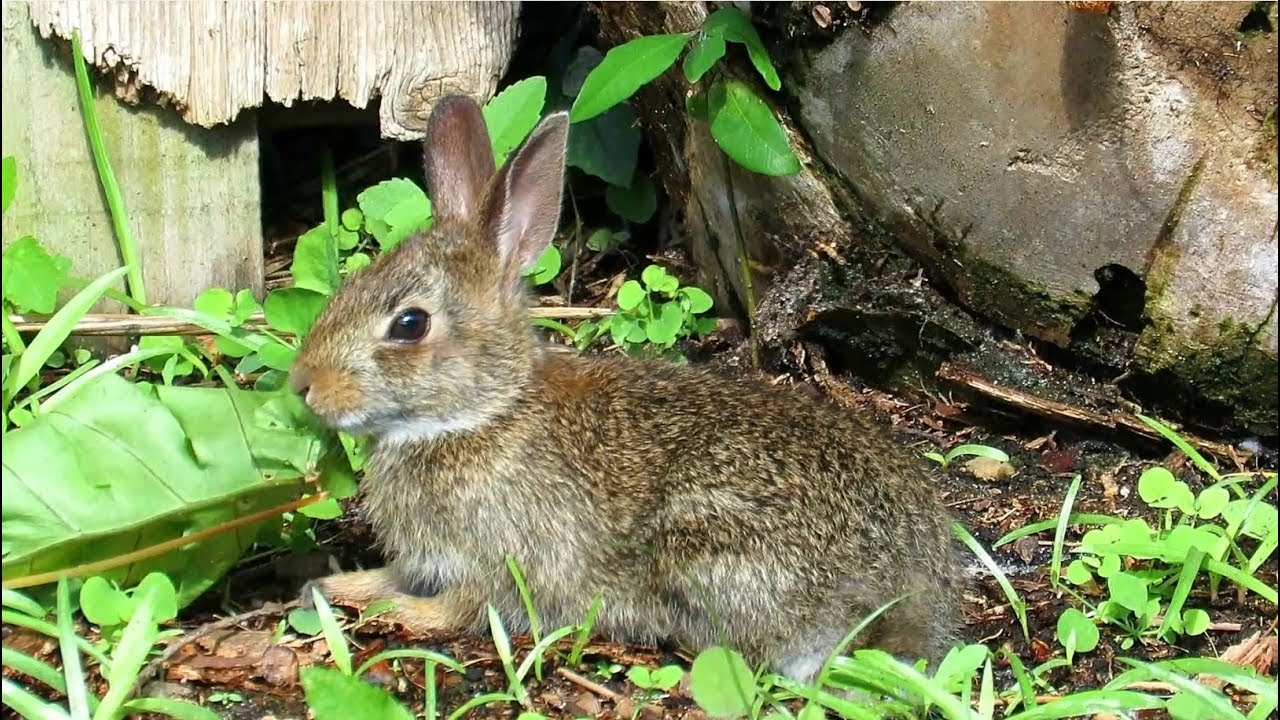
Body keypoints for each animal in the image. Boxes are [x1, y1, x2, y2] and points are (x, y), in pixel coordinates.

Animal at [289, 94, 965, 683]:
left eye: (409, 324)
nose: (303, 386)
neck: (485, 411)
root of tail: (910, 590)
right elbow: (393, 574)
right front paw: (334, 587)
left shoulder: (501, 562)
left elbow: (459, 609)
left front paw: (386, 611)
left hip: (707, 549)